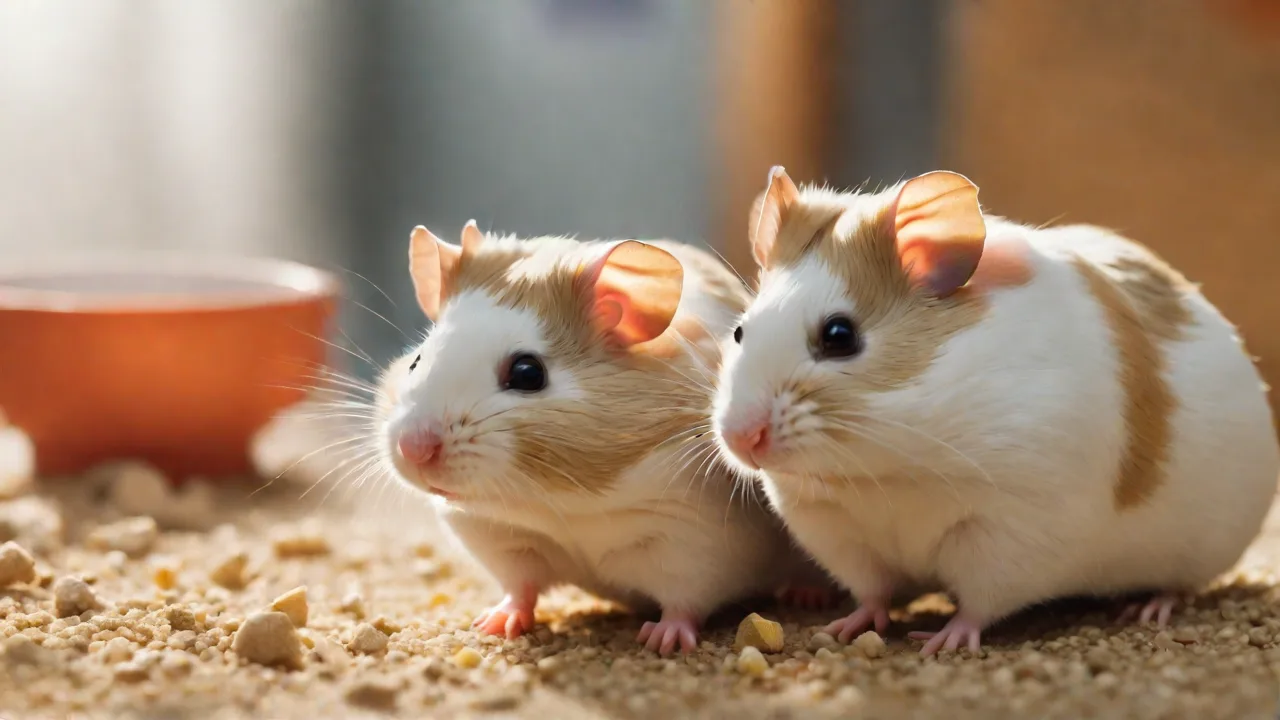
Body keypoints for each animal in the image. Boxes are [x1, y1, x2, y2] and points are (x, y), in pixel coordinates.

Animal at [377, 221, 824, 655]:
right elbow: (520, 589)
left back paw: (805, 595)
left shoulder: (693, 540)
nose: (412, 449)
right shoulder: (503, 540)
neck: (565, 504)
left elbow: (684, 603)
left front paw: (662, 642)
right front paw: (492, 625)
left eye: (527, 373)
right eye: (417, 360)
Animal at [712, 167, 1280, 656]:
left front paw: (942, 642)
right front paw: (843, 628)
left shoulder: (1010, 529)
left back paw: (1148, 608)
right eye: (740, 331)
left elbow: (979, 604)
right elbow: (871, 591)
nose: (741, 439)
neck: (891, 469)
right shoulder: (840, 533)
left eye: (839, 336)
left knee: (1180, 586)